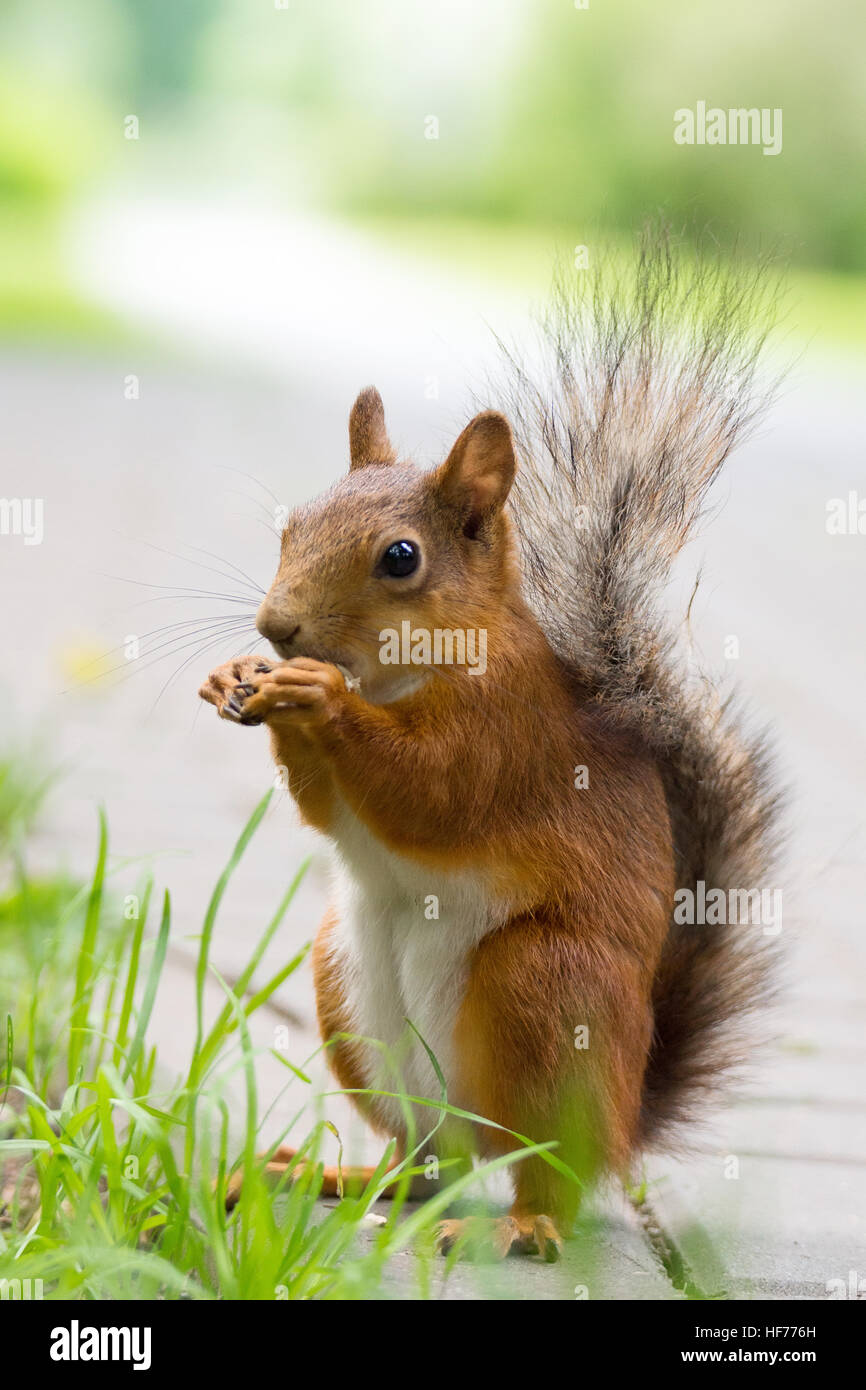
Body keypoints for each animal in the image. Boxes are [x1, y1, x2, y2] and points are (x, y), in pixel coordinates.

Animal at [199, 230, 781, 1261]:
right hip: (348, 986)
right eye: (290, 524)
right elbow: (327, 807)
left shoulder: (508, 732)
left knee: (544, 1171)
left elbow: (432, 792)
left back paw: (523, 1225)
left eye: (401, 558)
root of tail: (626, 1122)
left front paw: (317, 697)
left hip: (543, 991)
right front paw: (242, 679)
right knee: (423, 1159)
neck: (401, 677)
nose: (276, 629)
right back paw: (330, 1177)